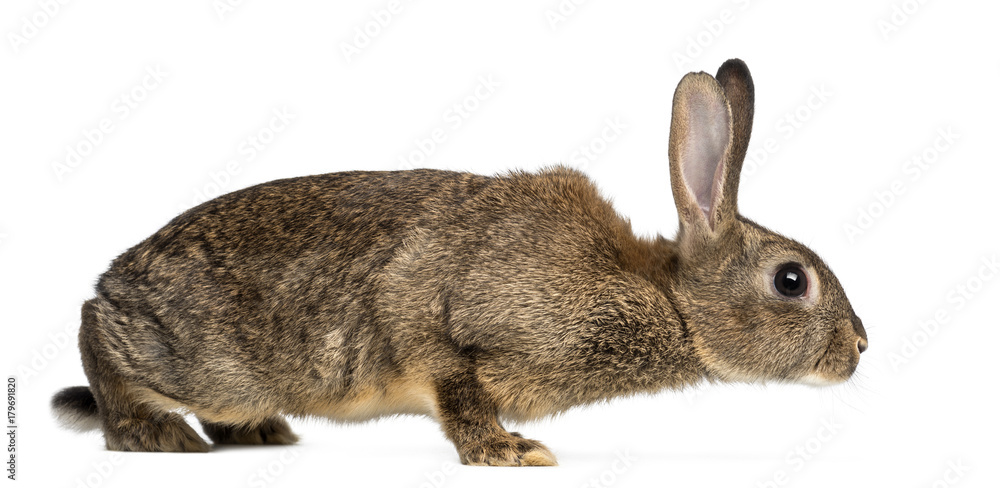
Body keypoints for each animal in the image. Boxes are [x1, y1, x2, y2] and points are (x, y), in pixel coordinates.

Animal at [52, 58, 867, 466]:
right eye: (791, 280)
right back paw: (157, 436)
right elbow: (456, 388)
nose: (859, 346)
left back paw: (260, 434)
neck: (666, 297)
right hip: (192, 356)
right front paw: (510, 451)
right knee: (99, 342)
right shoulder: (447, 330)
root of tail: (116, 283)